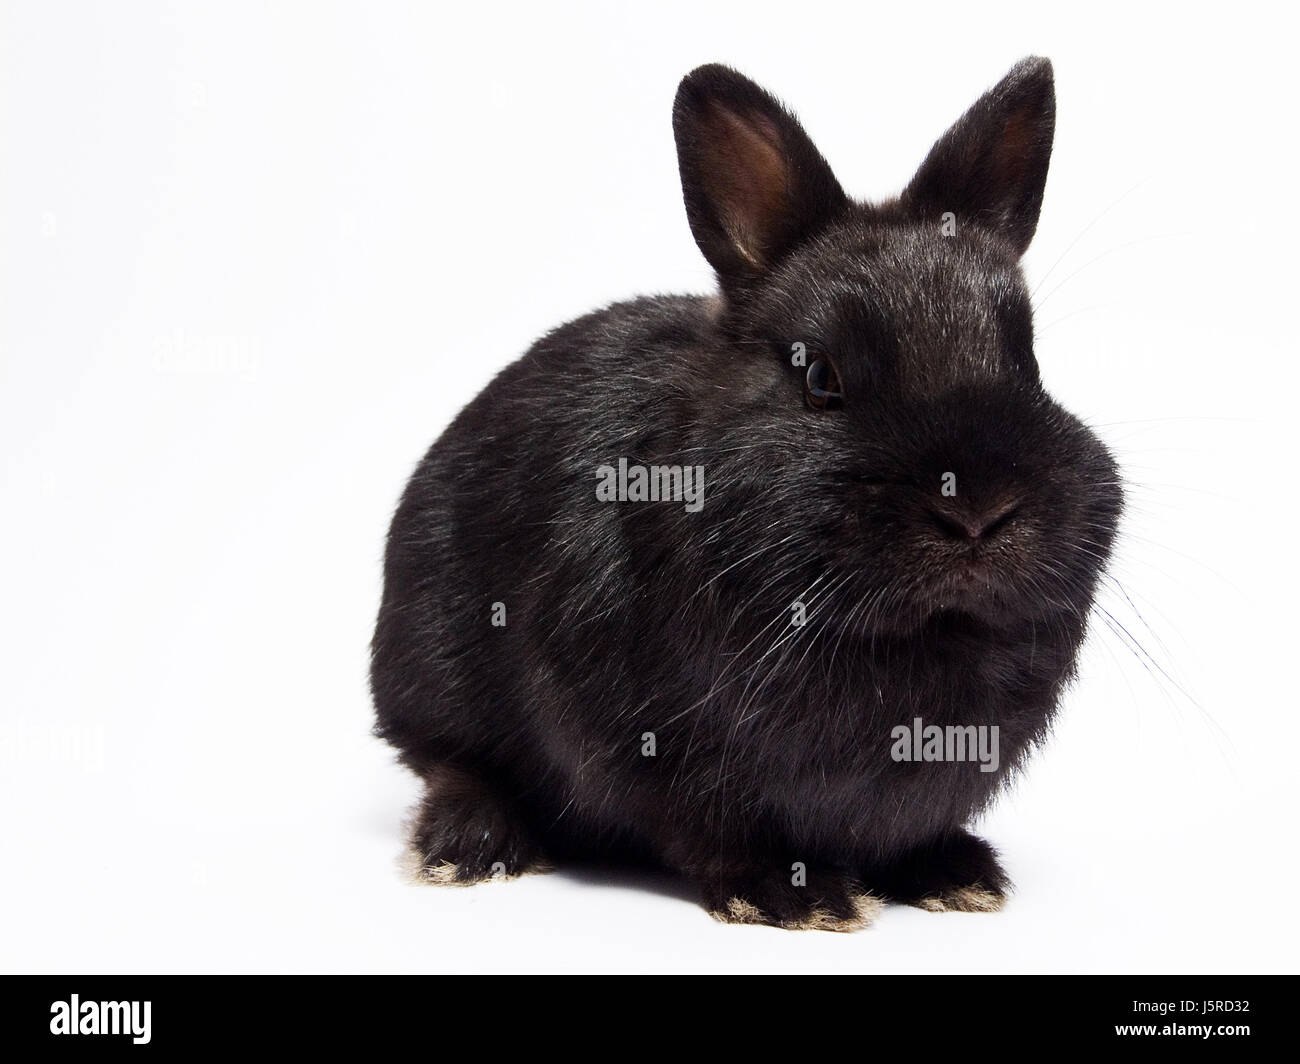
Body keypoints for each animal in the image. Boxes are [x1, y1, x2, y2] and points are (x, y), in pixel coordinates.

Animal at [371, 56, 1123, 931]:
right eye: (821, 378)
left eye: (1026, 363)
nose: (977, 511)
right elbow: (712, 830)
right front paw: (797, 896)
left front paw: (951, 872)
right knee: (450, 763)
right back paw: (468, 846)